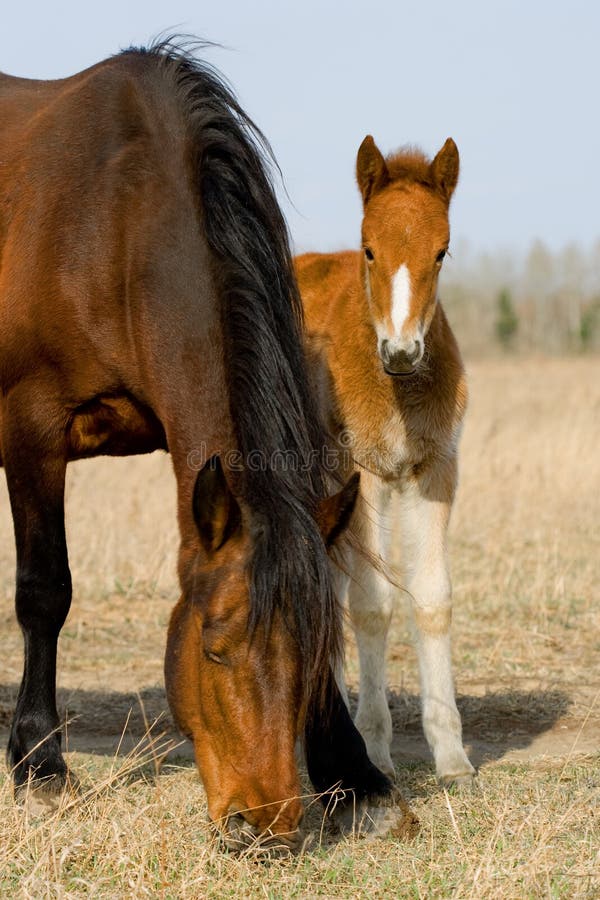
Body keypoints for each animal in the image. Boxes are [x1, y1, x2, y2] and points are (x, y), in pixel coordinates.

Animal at [0, 45, 417, 850]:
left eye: (312, 657)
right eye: (216, 647)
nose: (267, 823)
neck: (110, 220)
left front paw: (357, 776)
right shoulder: (29, 430)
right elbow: (44, 592)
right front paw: (39, 762)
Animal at [296, 135, 476, 786]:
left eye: (443, 251)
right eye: (369, 249)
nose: (401, 353)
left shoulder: (435, 473)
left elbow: (433, 598)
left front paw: (452, 756)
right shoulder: (365, 475)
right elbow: (372, 606)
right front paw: (373, 751)